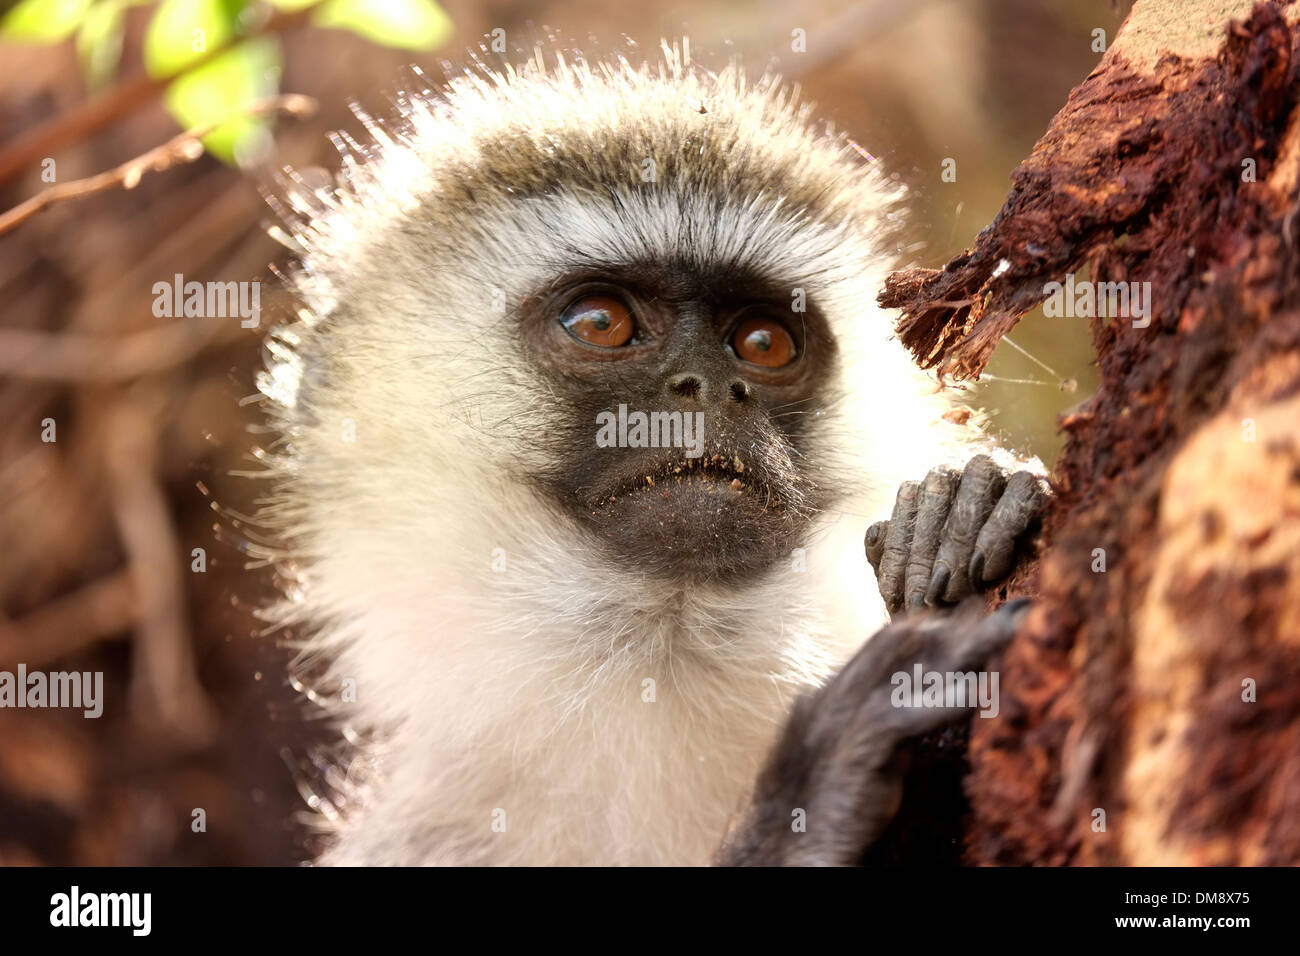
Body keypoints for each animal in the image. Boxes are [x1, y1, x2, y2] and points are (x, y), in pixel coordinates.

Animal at [254, 40, 1047, 866]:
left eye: (763, 342)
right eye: (600, 322)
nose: (711, 388)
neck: (657, 667)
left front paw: (957, 513)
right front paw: (803, 795)